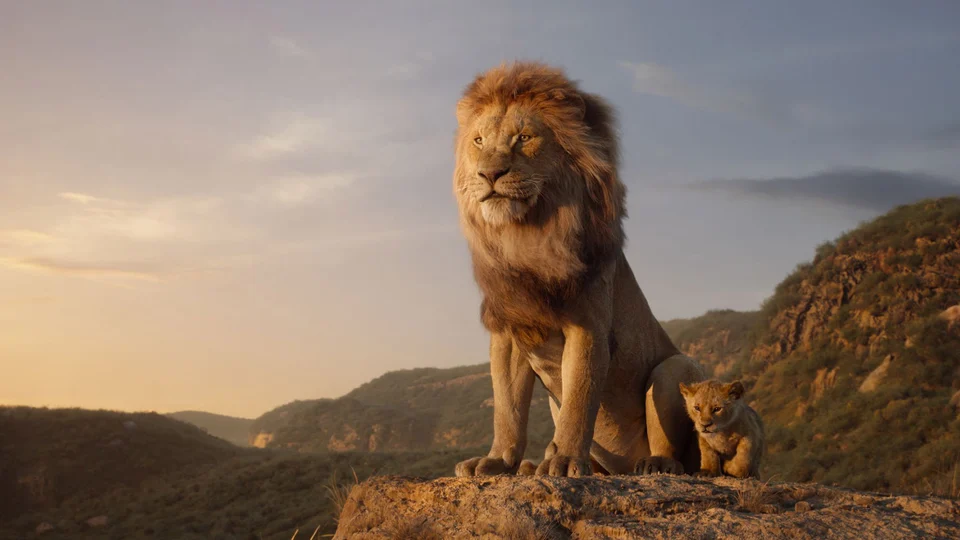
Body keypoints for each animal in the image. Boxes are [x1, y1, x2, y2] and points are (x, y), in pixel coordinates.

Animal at [451, 61, 705, 478]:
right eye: (478, 141)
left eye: (524, 138)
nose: (489, 174)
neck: (526, 237)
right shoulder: (509, 332)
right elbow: (507, 409)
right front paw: (497, 460)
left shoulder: (588, 326)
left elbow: (579, 399)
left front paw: (566, 460)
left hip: (675, 368)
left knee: (677, 451)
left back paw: (654, 464)